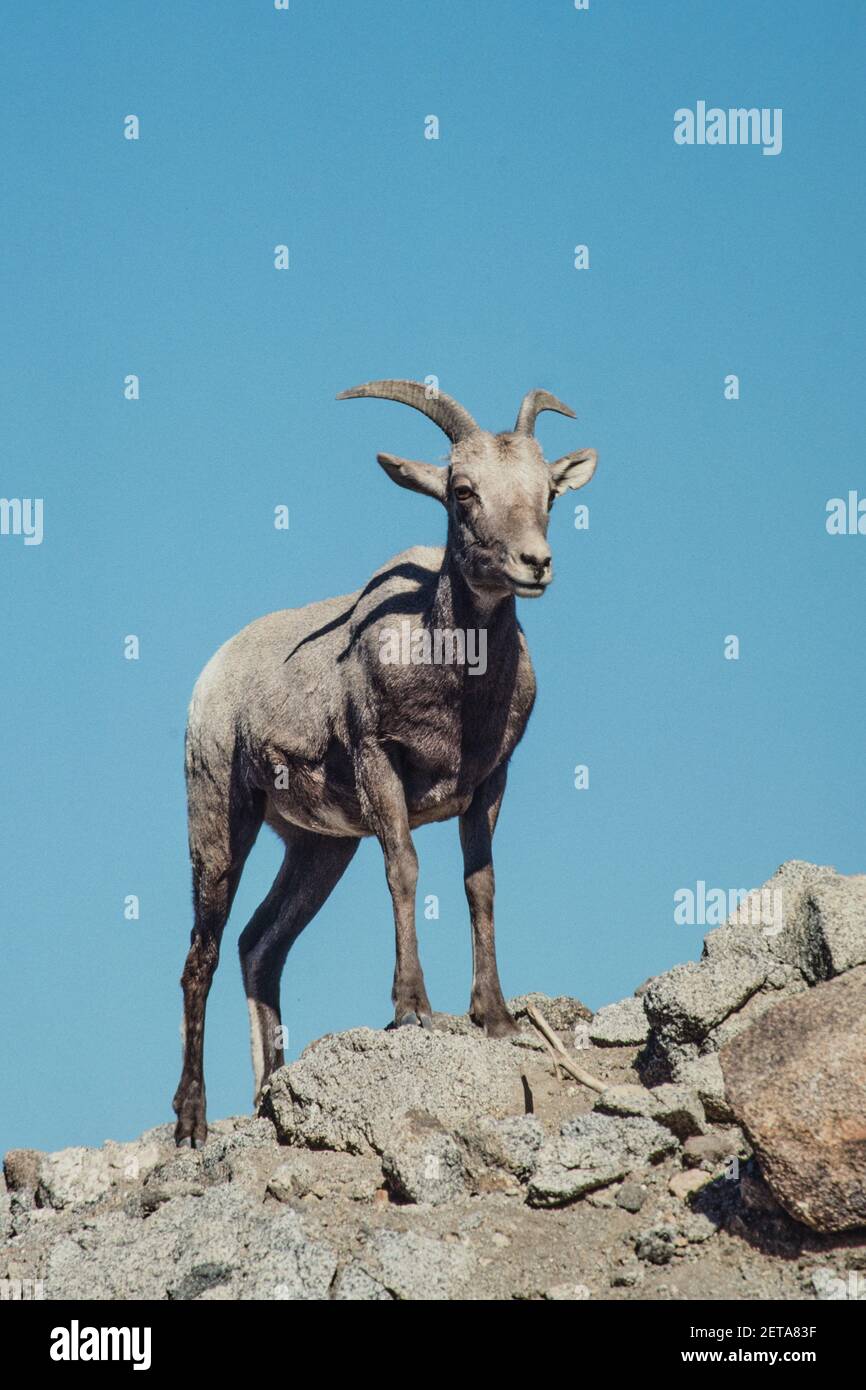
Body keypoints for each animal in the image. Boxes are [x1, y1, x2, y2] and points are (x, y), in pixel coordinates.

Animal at [172, 379, 597, 1145]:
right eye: (462, 491)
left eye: (548, 490)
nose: (535, 563)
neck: (454, 680)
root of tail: (212, 675)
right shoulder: (381, 766)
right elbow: (406, 871)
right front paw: (411, 1008)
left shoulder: (489, 784)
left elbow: (480, 884)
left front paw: (493, 1016)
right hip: (220, 822)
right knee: (204, 954)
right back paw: (192, 1120)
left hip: (318, 849)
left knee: (260, 946)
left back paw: (270, 1089)